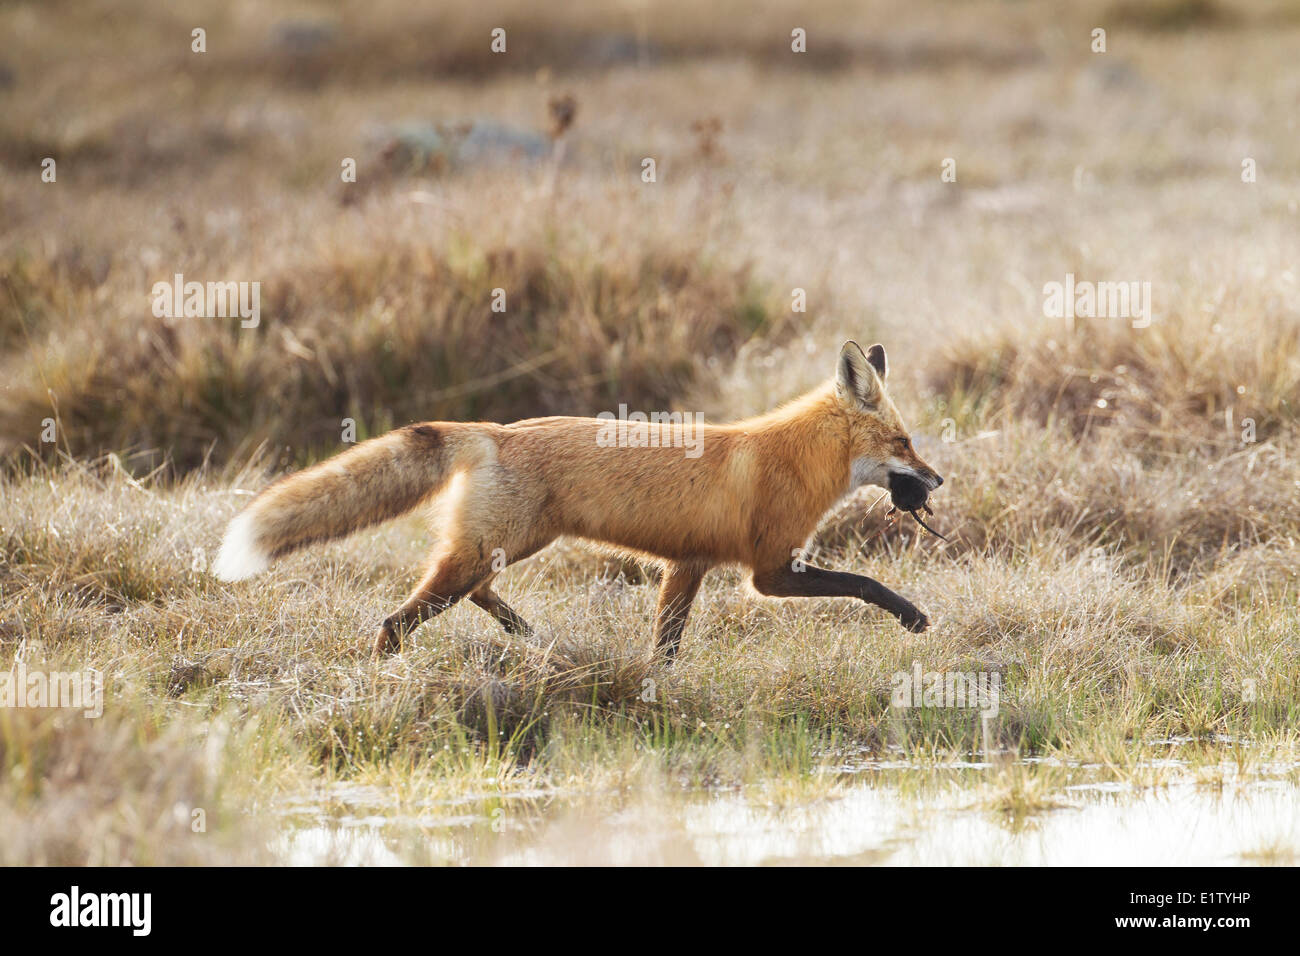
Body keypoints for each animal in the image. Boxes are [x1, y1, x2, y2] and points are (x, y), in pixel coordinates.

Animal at [213, 341, 944, 659]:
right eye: (904, 442)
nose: (936, 482)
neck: (793, 458)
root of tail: (495, 430)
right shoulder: (768, 571)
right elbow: (863, 581)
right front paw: (911, 615)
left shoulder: (689, 564)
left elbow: (665, 645)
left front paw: (657, 687)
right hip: (492, 549)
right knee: (398, 621)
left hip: (502, 548)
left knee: (477, 592)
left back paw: (535, 639)